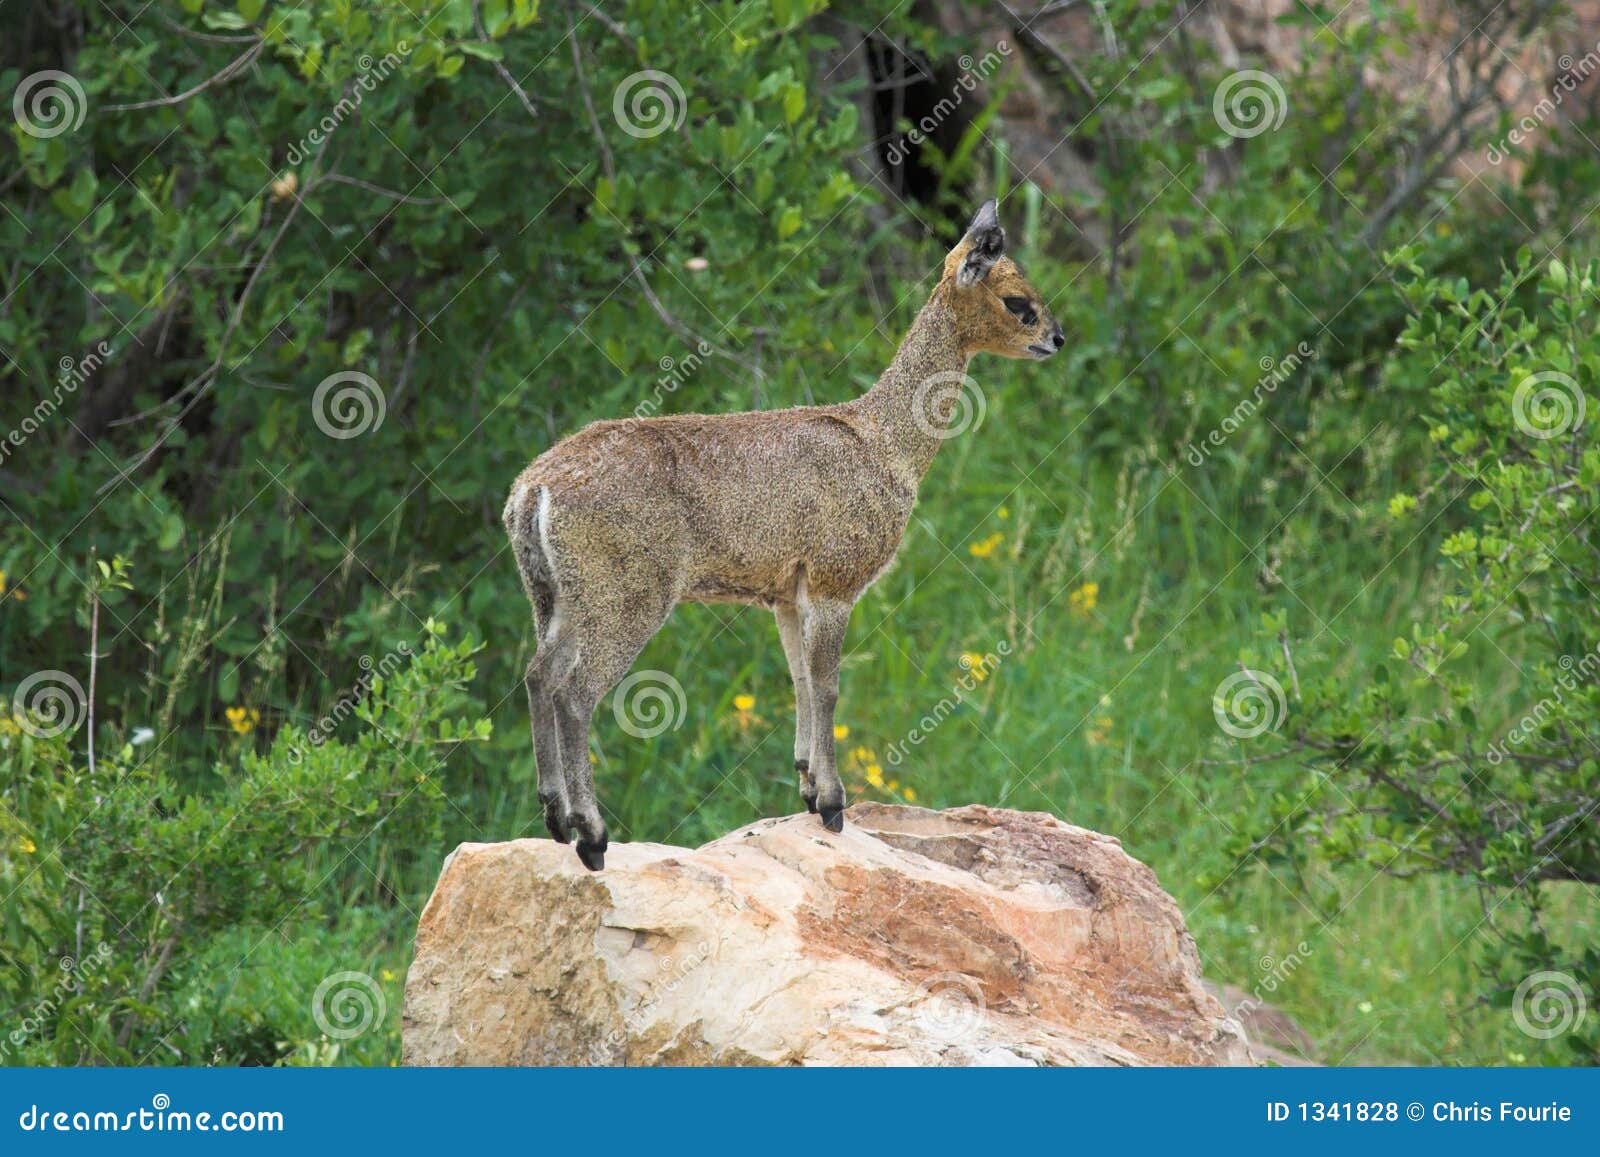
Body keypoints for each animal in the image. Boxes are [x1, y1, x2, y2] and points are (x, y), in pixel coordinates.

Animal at [503, 200, 1063, 869]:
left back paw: (555, 820)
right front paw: (834, 804)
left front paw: (805, 785)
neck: (886, 441)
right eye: (1016, 298)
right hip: (627, 600)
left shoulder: (786, 597)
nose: (1057, 339)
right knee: (575, 693)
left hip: (555, 601)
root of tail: (533, 488)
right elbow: (828, 686)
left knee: (538, 676)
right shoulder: (834, 584)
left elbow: (798, 678)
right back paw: (591, 837)